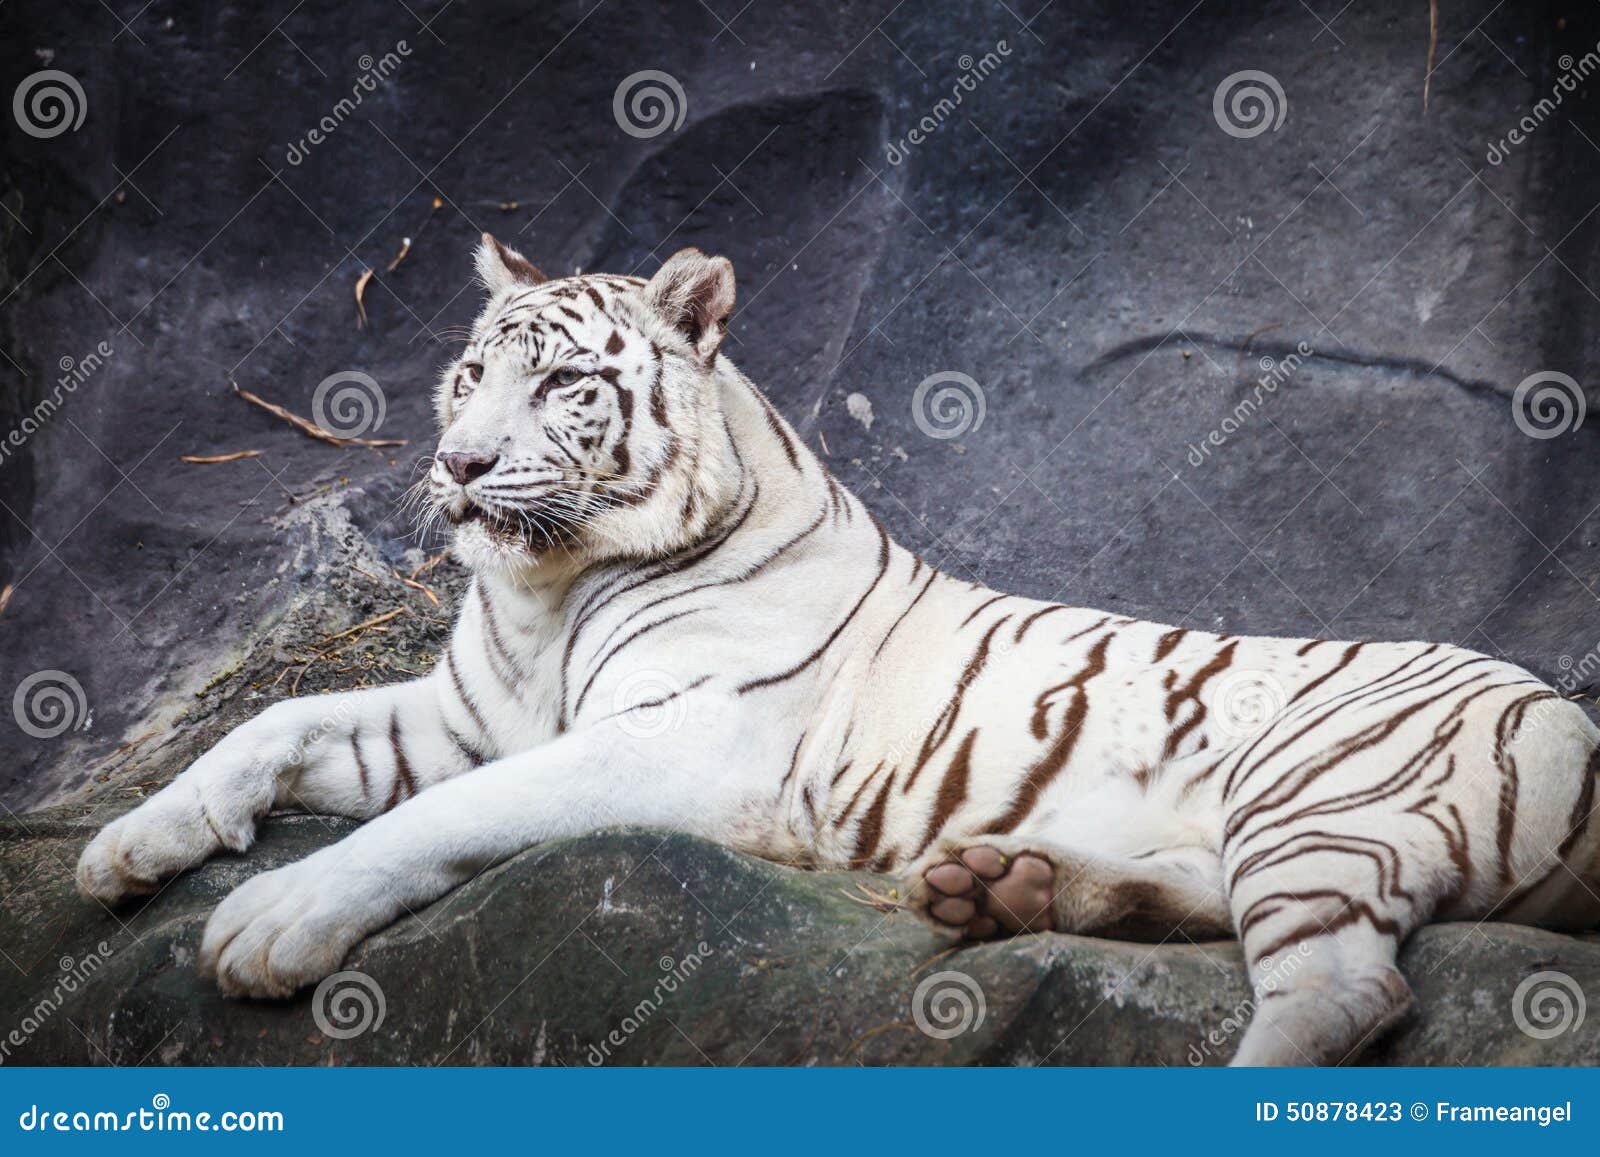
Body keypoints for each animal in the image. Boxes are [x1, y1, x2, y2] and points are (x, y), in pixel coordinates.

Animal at [75, 235, 1600, 1066]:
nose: (457, 465)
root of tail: (1570, 715)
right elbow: (267, 725)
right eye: (470, 373)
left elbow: (444, 818)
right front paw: (130, 847)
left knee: (1344, 988)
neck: (546, 589)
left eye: (562, 385)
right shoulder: (458, 715)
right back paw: (997, 884)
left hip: (1321, 789)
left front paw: (270, 921)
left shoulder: (682, 743)